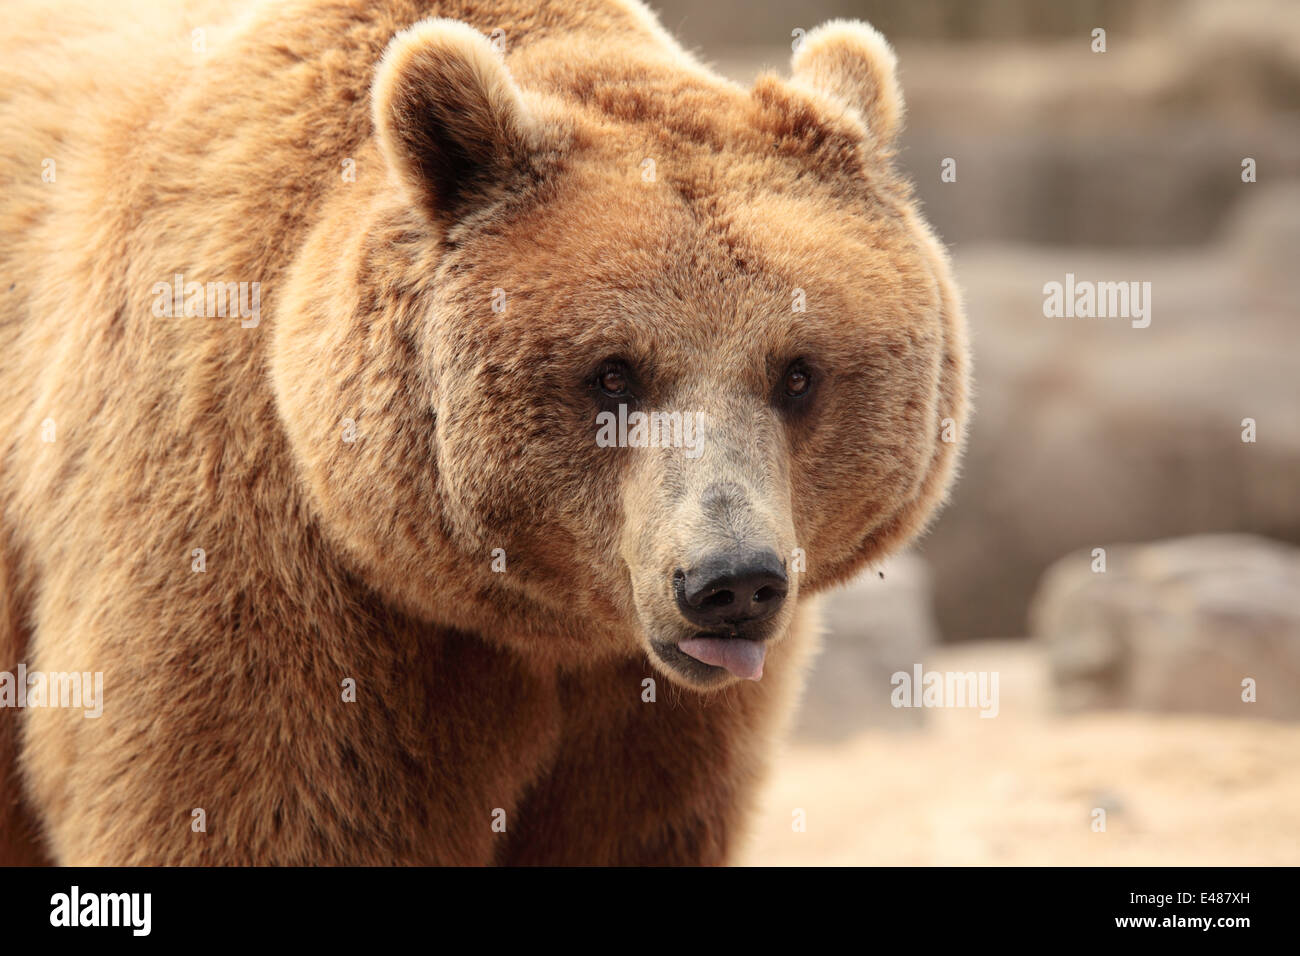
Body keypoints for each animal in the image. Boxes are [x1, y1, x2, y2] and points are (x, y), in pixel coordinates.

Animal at [0, 0, 968, 865]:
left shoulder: (658, 718)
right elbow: (245, 806)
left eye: (796, 372)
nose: (729, 582)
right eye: (613, 372)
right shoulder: (265, 570)